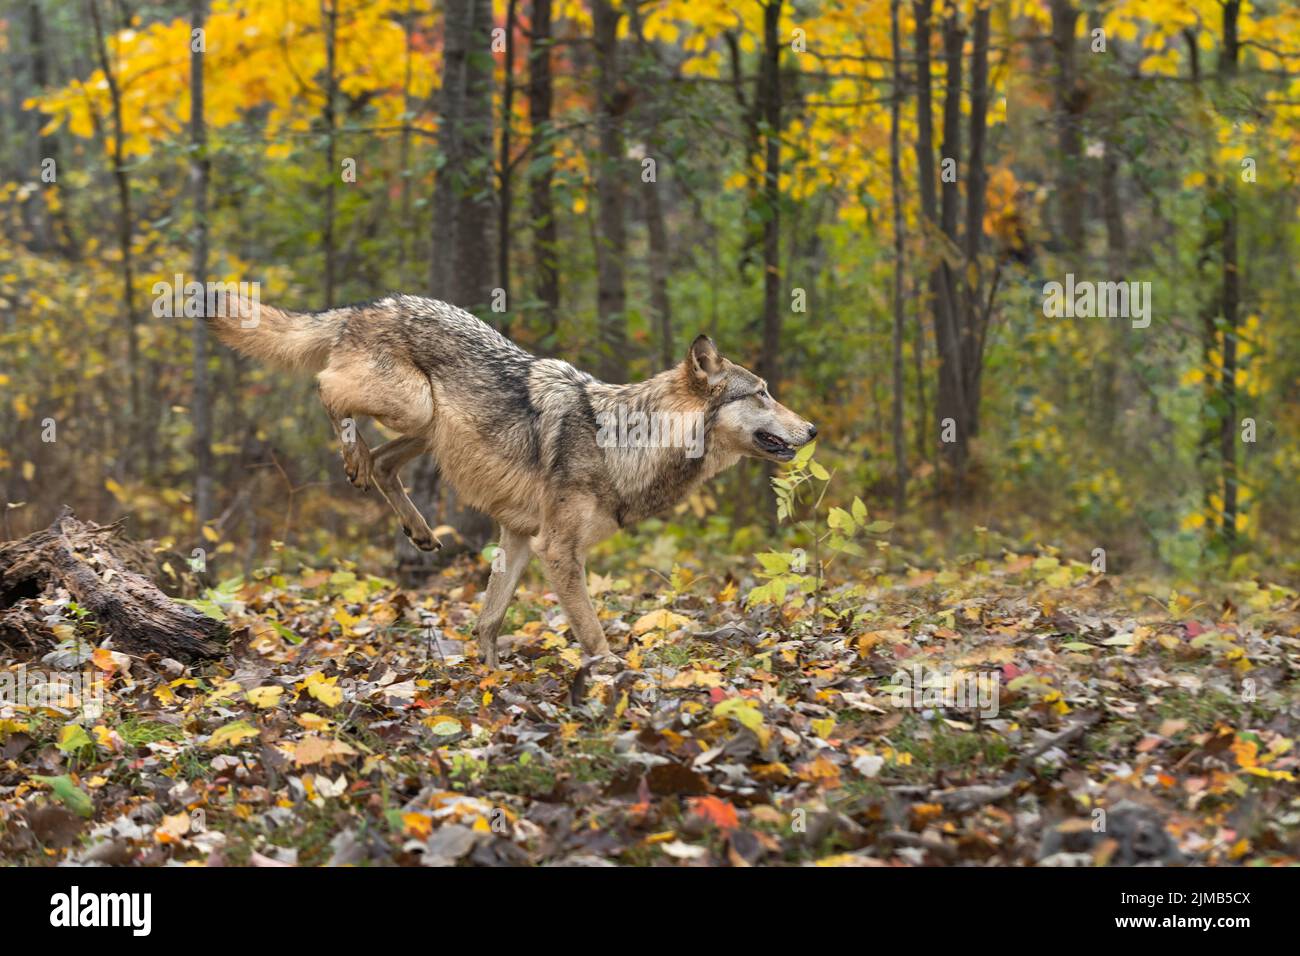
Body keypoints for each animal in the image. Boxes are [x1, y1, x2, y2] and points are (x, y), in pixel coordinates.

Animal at [207, 293, 816, 665]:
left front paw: (491, 676)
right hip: (411, 405)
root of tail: (365, 306)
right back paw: (353, 460)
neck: (626, 437)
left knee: (383, 462)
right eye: (762, 392)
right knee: (327, 390)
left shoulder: (521, 537)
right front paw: (615, 673)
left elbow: (490, 619)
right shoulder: (558, 550)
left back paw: (418, 529)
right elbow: (591, 631)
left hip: (428, 427)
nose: (812, 428)